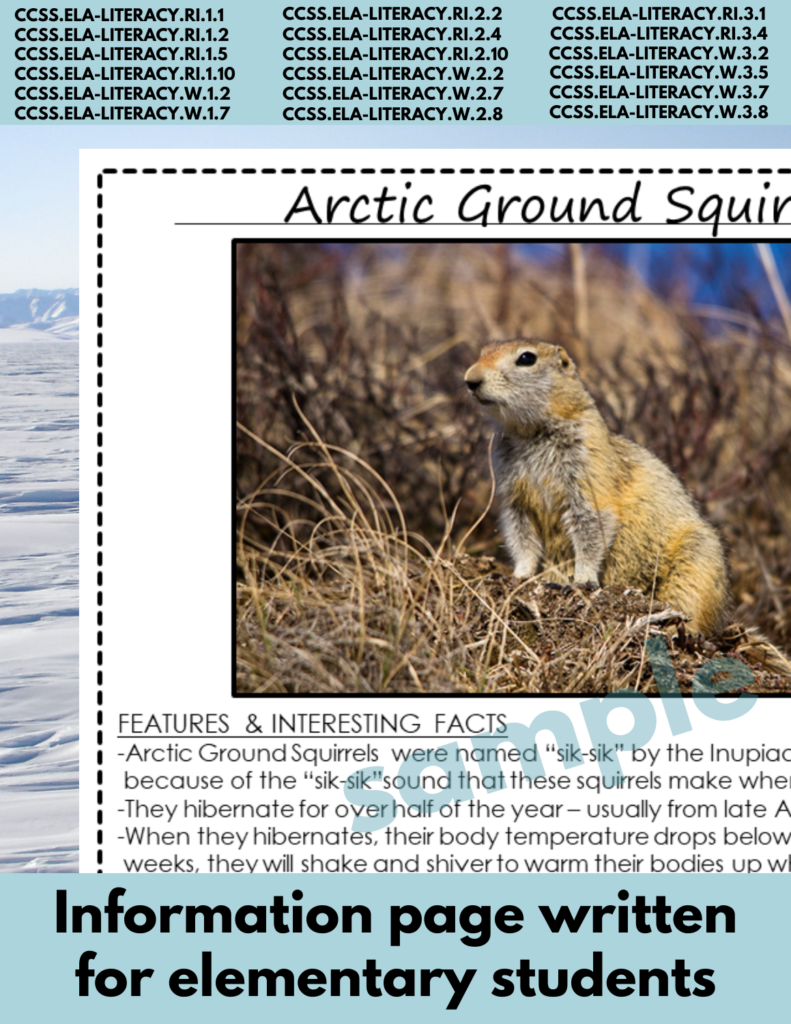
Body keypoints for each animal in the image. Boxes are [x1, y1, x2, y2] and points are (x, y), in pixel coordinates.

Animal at [465, 339, 729, 636]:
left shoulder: (586, 472)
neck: (530, 434)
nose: (470, 379)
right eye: (483, 351)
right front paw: (518, 575)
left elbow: (591, 523)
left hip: (696, 560)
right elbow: (520, 535)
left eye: (526, 358)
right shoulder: (513, 496)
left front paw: (581, 580)